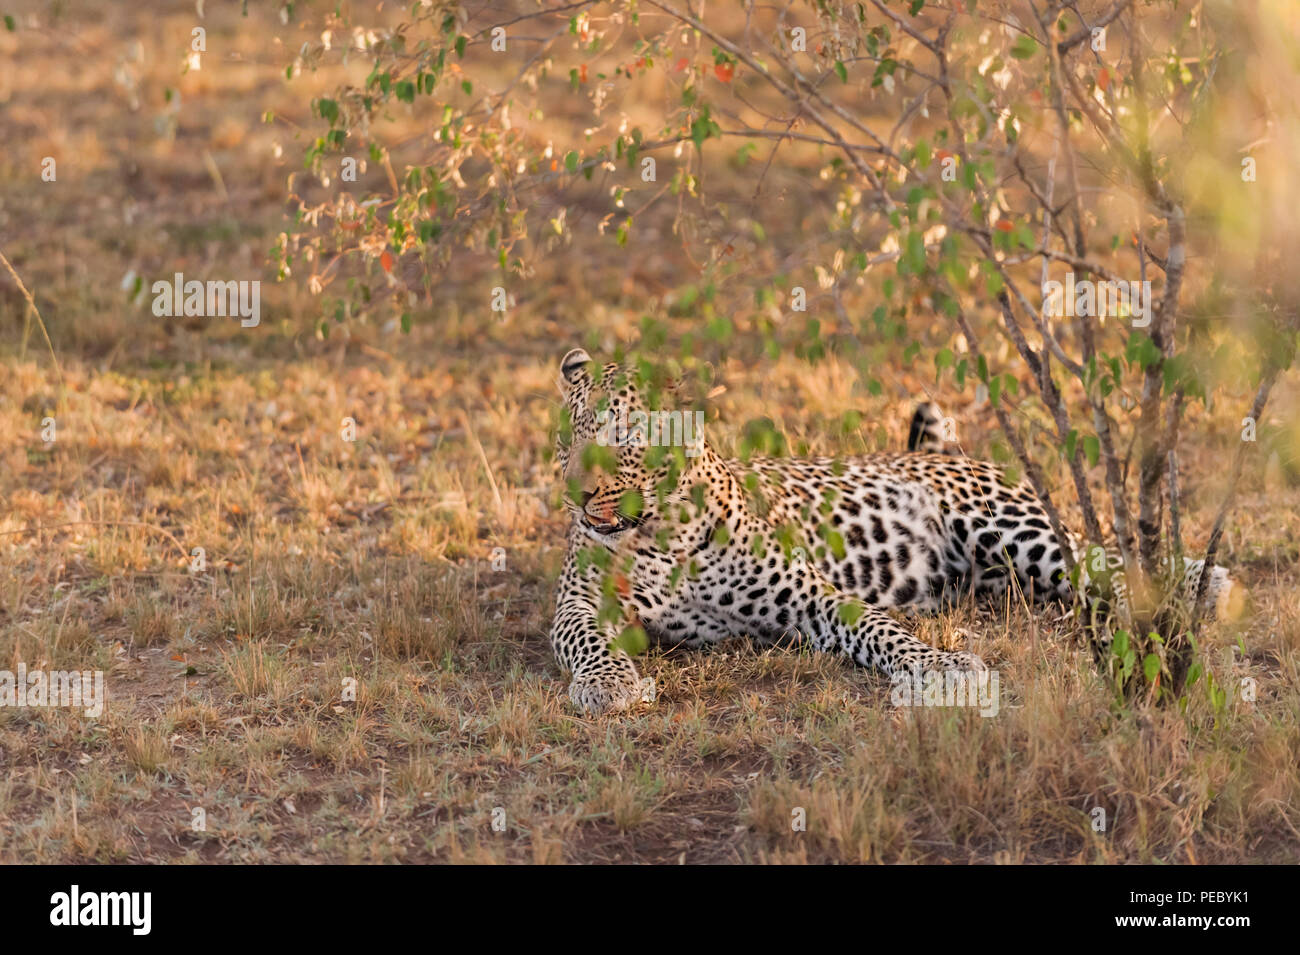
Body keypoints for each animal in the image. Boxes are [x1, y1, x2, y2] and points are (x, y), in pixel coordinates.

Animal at [550, 350, 1233, 715]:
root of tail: (941, 453)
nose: (576, 495)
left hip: (1003, 524)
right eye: (566, 436)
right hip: (999, 577)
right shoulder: (579, 603)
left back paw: (1201, 582)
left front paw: (945, 667)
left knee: (1097, 556)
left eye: (621, 436)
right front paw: (609, 683)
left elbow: (880, 629)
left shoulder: (812, 595)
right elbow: (587, 639)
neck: (658, 531)